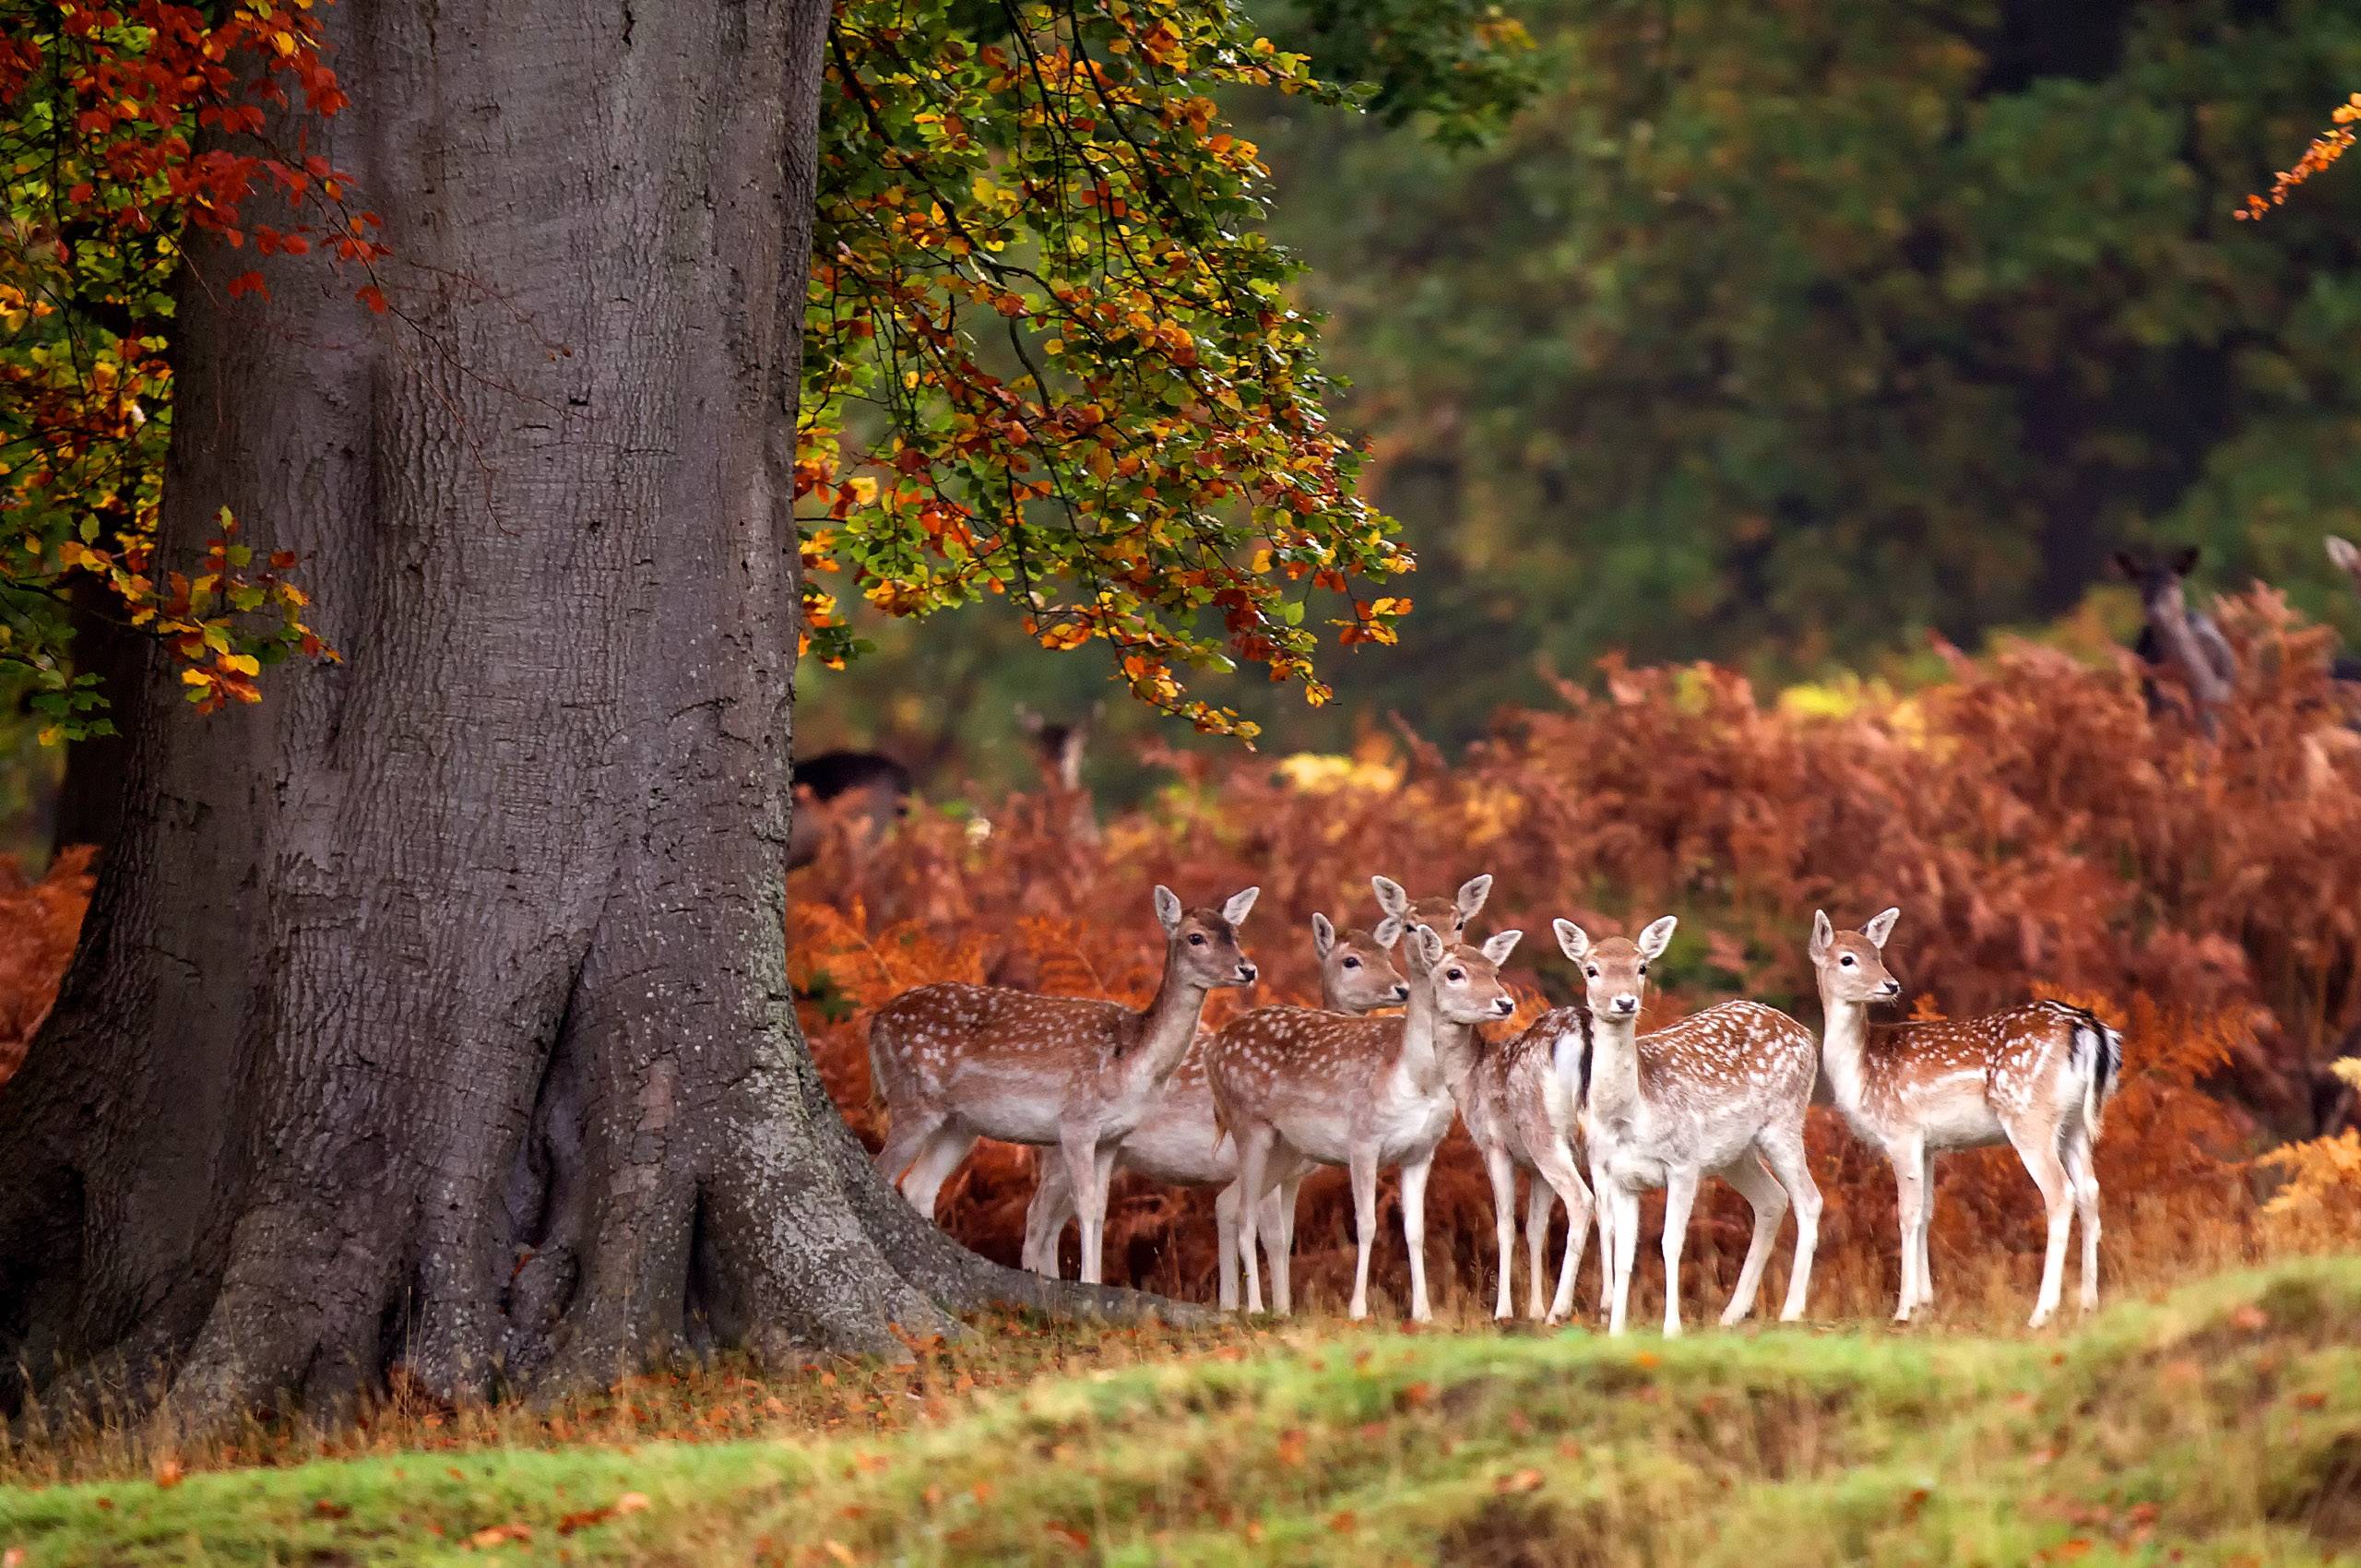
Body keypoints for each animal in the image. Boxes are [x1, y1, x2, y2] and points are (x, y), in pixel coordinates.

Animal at [867, 884, 1259, 1285]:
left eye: (1235, 934)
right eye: (1196, 938)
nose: (1247, 969)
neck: (1133, 1062)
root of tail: (877, 1022)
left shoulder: (1112, 1137)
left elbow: (1100, 1208)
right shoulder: (1077, 1122)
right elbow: (1085, 1204)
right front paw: (1089, 1282)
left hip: (960, 1125)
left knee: (919, 1186)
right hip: (912, 1098)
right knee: (884, 1170)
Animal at [1018, 909, 1410, 1309]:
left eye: (1387, 955)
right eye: (1351, 961)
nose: (1402, 988)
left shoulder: (1292, 1174)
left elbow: (1278, 1234)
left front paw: (1248, 1305)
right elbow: (1271, 1235)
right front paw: (1272, 1310)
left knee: (1054, 1222)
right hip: (1062, 1146)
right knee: (1036, 1217)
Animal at [1209, 917, 1522, 1321]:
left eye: (1495, 971)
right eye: (1455, 973)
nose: (1505, 1002)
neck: (1415, 1079)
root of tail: (1214, 1048)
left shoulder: (1421, 1151)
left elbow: (1415, 1229)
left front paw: (1422, 1313)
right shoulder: (1363, 1140)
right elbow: (1367, 1224)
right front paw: (1357, 1309)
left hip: (1287, 1148)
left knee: (1229, 1202)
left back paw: (1246, 1306)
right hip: (1249, 1124)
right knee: (1246, 1212)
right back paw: (1256, 1308)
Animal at [1564, 916, 1823, 1337]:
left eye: (1642, 967)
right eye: (1591, 969)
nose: (1625, 1001)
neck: (1631, 1116)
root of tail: (1807, 1034)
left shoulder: (1683, 1163)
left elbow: (1671, 1242)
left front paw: (1672, 1328)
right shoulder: (1618, 1176)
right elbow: (1623, 1251)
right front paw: (1616, 1330)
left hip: (1783, 1121)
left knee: (1809, 1199)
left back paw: (1791, 1310)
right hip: (1734, 1154)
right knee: (1772, 1199)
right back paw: (1732, 1313)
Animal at [1810, 908, 2123, 1328]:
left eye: (1877, 954)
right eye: (1848, 958)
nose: (1891, 985)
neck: (1861, 1072)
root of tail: (2089, 1029)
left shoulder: (1901, 1131)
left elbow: (1906, 1214)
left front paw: (1904, 1309)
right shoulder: (1927, 1145)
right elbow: (1926, 1213)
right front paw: (1926, 1303)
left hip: (2028, 1114)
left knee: (2061, 1193)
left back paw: (2041, 1312)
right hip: (2073, 1123)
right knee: (2090, 1190)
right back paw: (2088, 1303)